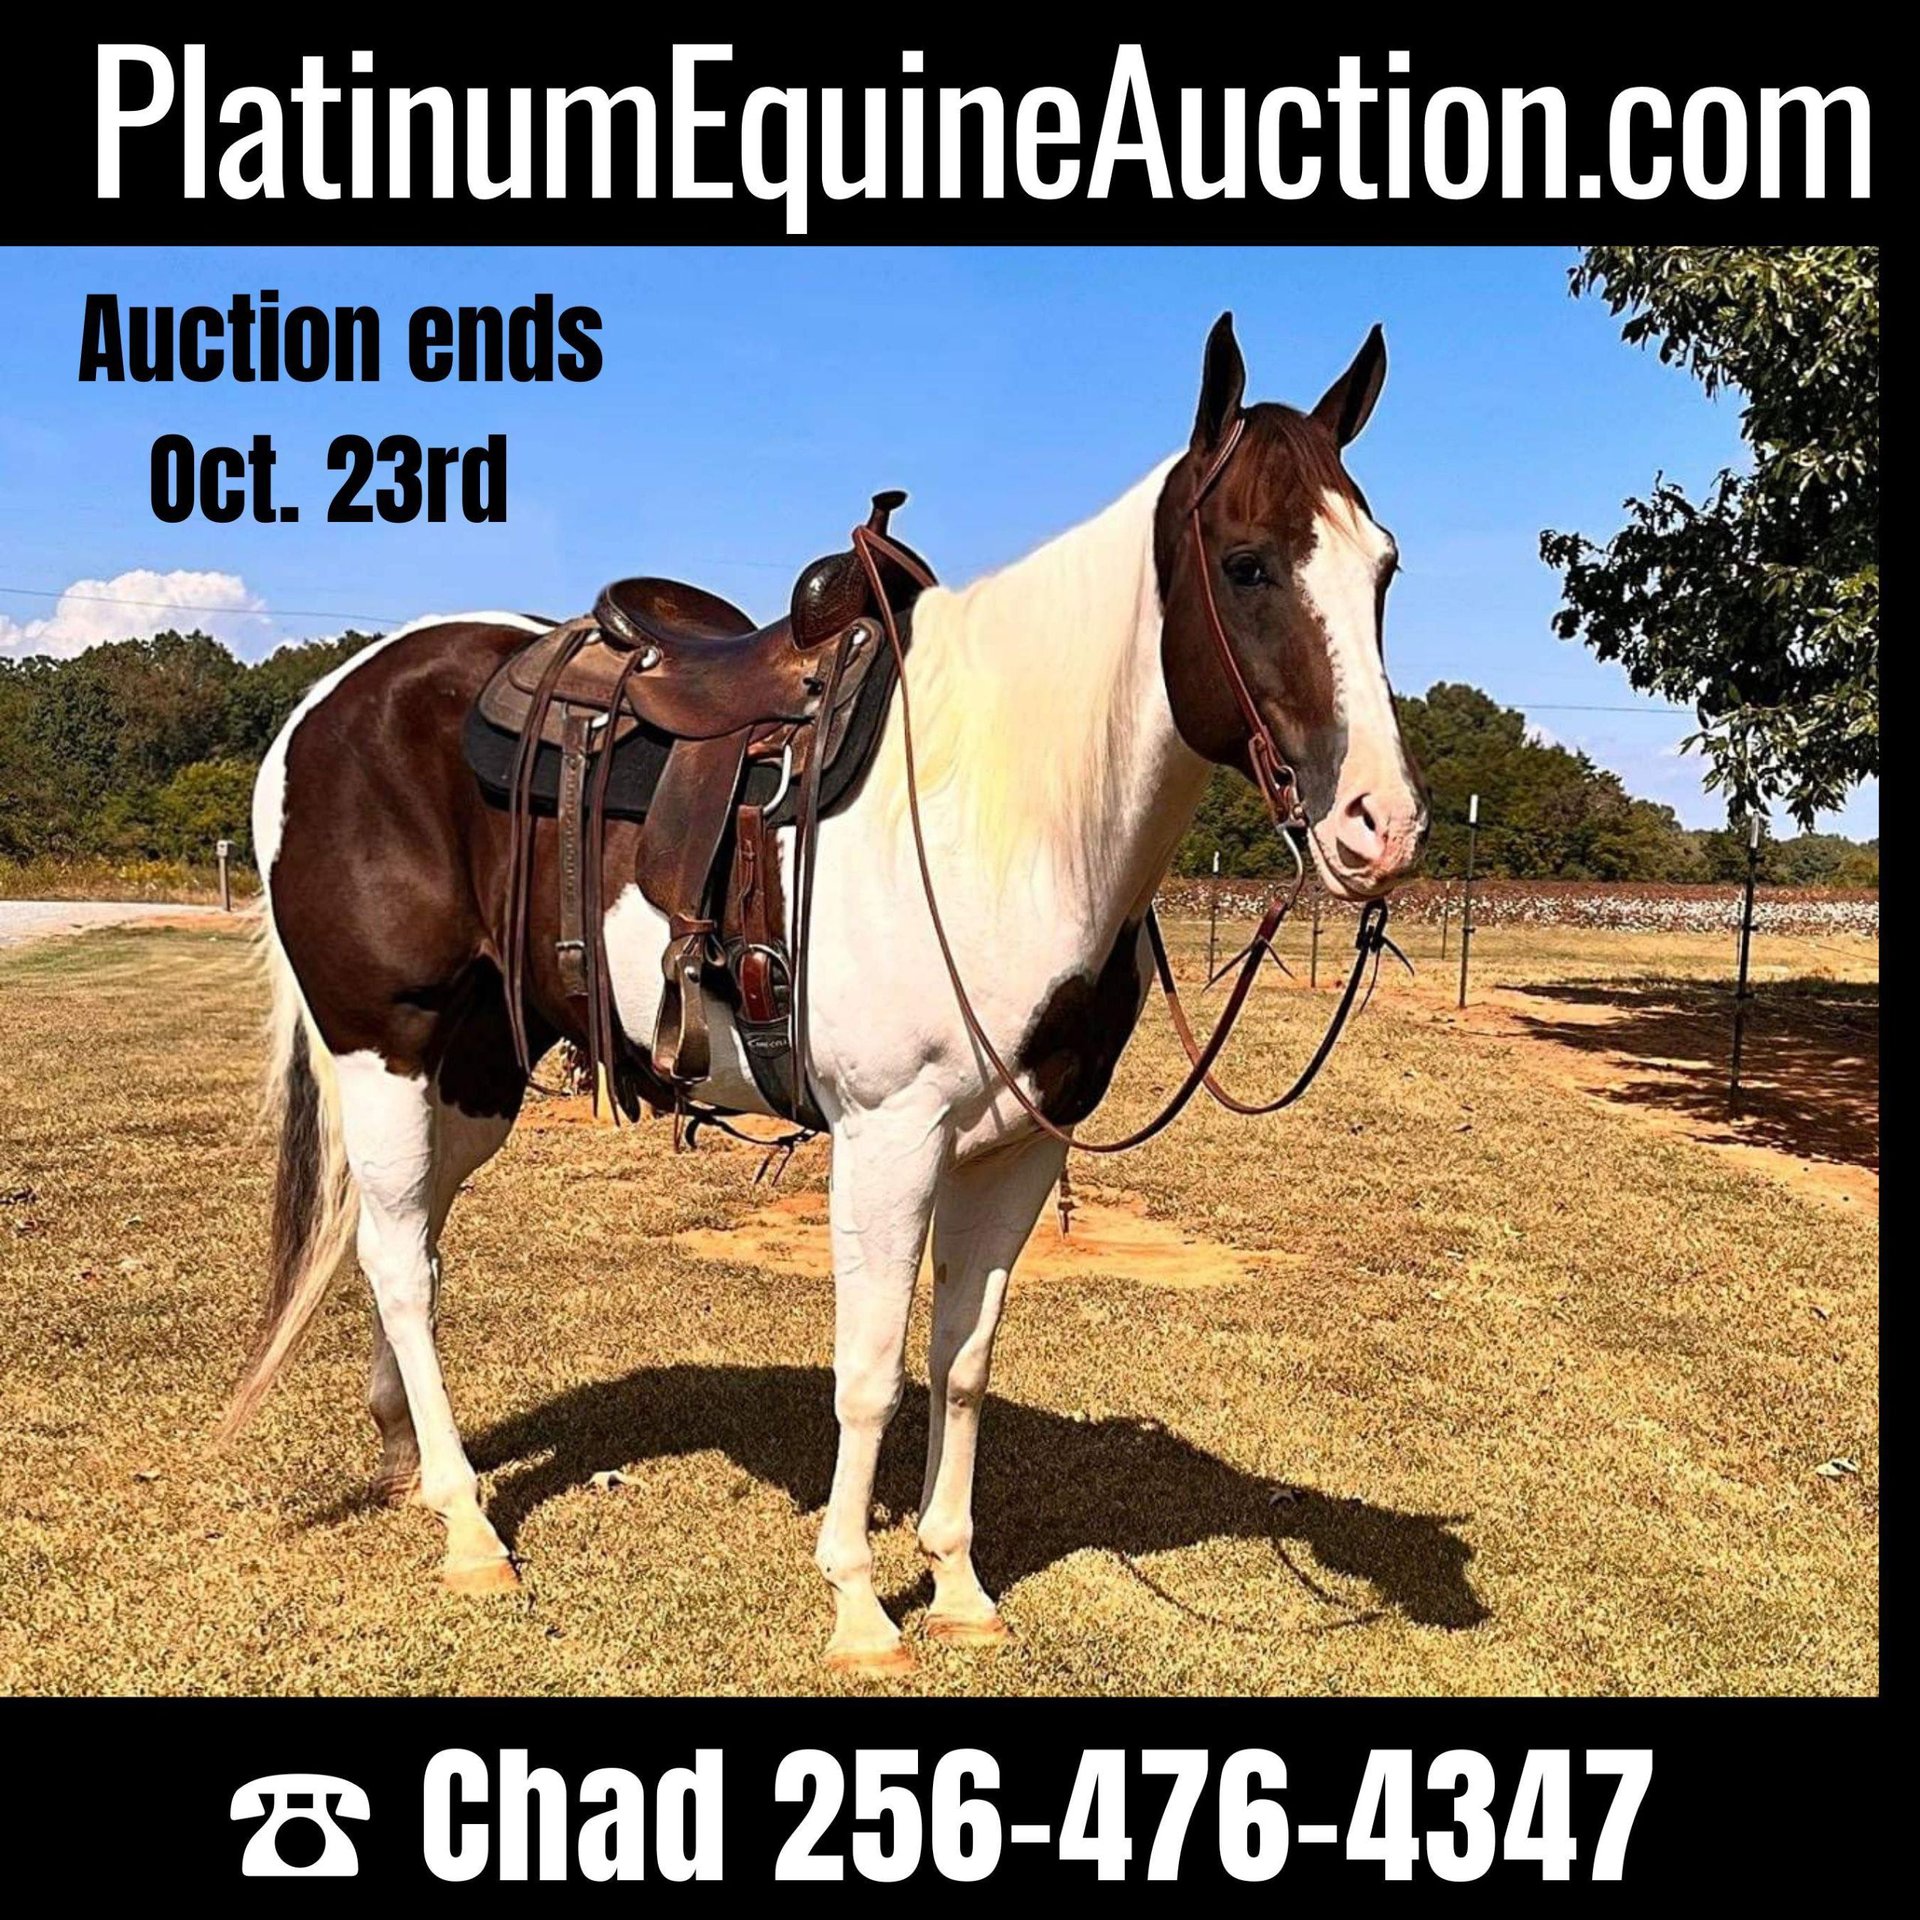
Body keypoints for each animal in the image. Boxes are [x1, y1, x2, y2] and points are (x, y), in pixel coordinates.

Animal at [229, 312, 1428, 1676]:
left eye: (1383, 568)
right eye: (1247, 564)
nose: (1381, 827)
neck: (998, 816)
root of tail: (323, 705)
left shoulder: (1016, 1149)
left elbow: (961, 1362)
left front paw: (959, 1588)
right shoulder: (888, 1137)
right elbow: (870, 1371)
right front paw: (860, 1604)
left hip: (472, 1071)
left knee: (407, 1234)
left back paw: (407, 1461)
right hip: (385, 1045)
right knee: (396, 1255)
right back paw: (469, 1527)